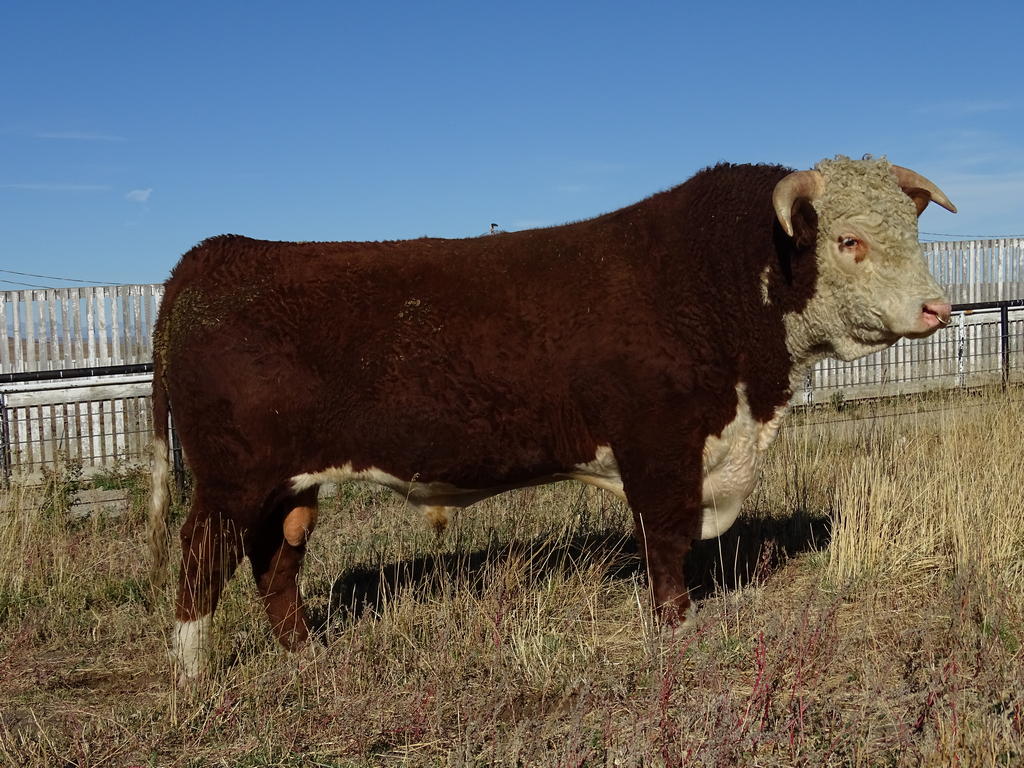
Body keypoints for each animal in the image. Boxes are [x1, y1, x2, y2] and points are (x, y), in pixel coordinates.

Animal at [148, 155, 956, 679]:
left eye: (911, 232)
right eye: (848, 239)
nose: (936, 308)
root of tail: (211, 256)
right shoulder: (659, 445)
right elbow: (665, 542)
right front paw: (676, 630)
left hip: (291, 485)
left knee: (276, 562)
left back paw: (308, 655)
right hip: (230, 479)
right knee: (201, 559)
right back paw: (195, 679)